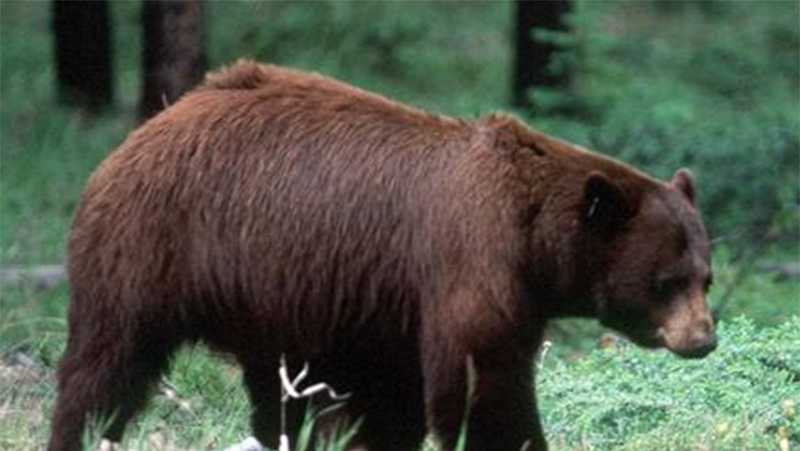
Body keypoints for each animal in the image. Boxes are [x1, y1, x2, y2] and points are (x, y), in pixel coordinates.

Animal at [48, 60, 716, 451]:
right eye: (666, 280)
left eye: (705, 277)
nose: (704, 339)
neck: (535, 244)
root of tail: (154, 122)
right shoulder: (473, 264)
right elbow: (484, 381)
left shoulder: (396, 306)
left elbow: (392, 401)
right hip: (151, 245)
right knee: (109, 359)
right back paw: (82, 429)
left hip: (277, 292)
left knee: (279, 389)